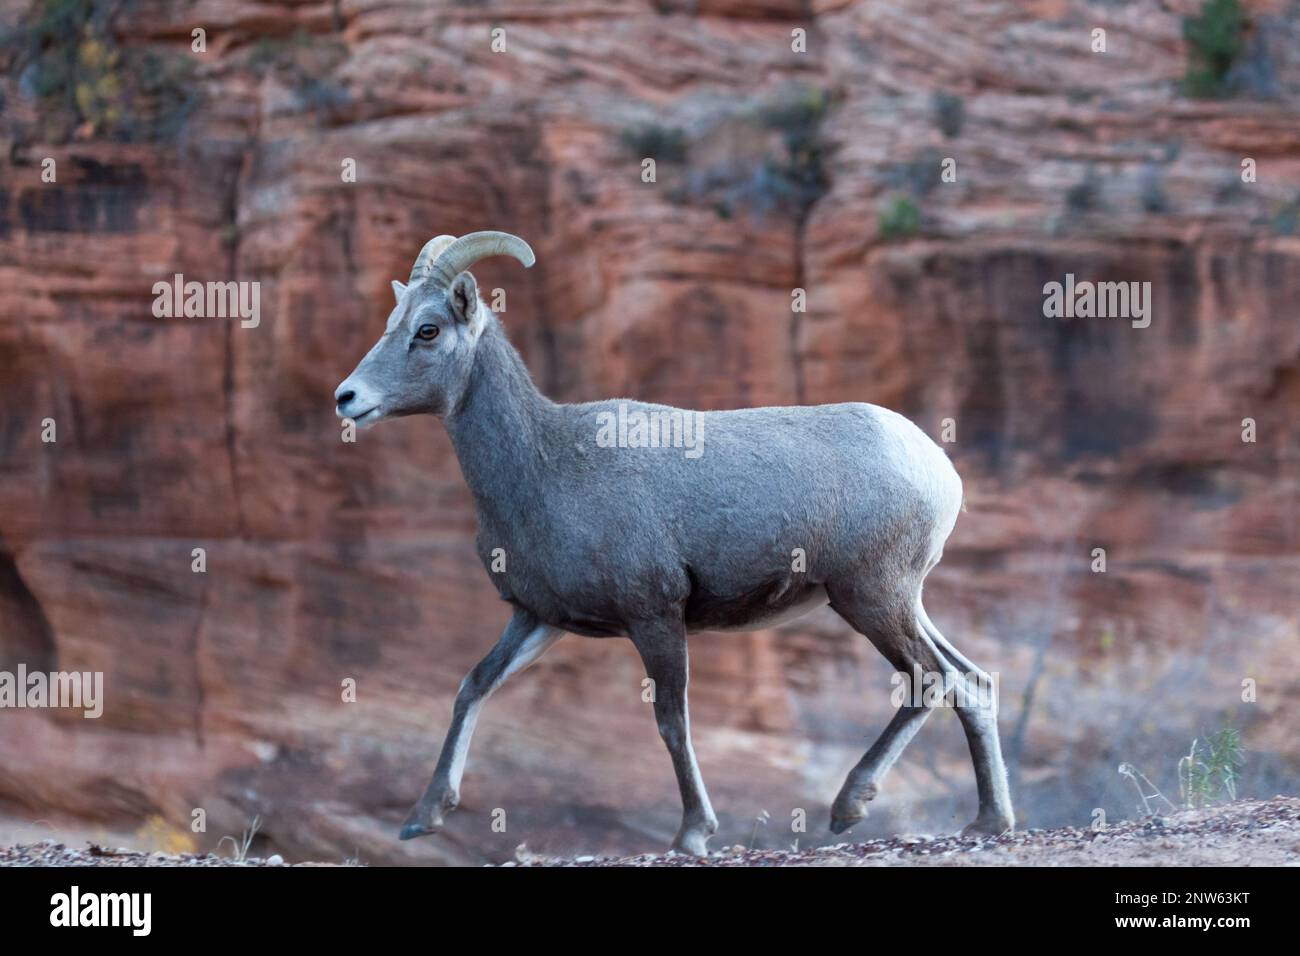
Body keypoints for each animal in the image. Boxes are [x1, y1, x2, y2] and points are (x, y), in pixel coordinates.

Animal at [334, 231, 1015, 854]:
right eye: (393, 323)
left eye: (427, 330)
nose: (347, 398)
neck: (545, 466)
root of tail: (936, 468)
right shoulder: (537, 618)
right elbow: (472, 686)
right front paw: (422, 817)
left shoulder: (655, 617)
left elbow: (671, 721)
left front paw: (692, 834)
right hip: (900, 602)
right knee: (973, 685)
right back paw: (987, 822)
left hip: (870, 598)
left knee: (929, 681)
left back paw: (850, 806)